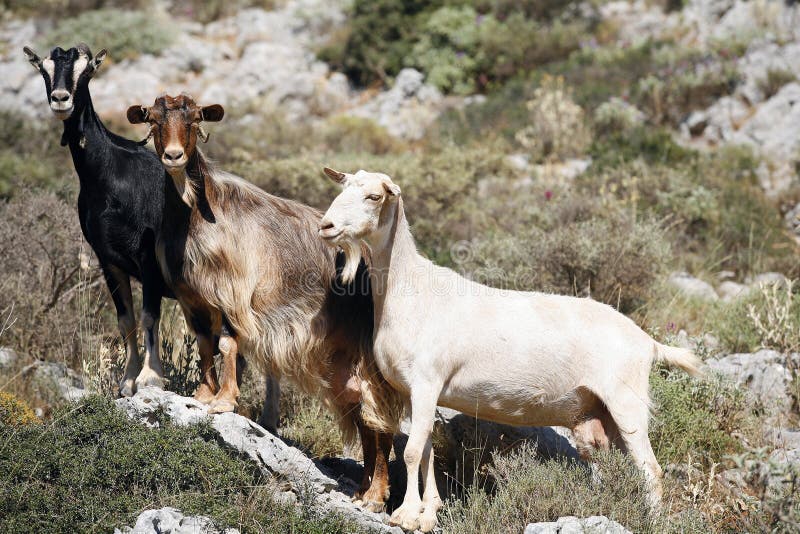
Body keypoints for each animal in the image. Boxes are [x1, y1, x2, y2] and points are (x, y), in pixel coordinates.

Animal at [127, 94, 404, 511]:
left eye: (194, 120)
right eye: (155, 120)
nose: (174, 156)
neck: (198, 214)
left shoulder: (234, 295)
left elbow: (228, 344)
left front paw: (224, 400)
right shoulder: (194, 299)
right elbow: (205, 345)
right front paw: (203, 394)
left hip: (371, 355)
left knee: (379, 417)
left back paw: (375, 497)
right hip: (342, 361)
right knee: (364, 416)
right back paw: (362, 489)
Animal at [319, 168, 703, 532]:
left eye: (373, 196)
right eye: (342, 188)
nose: (327, 225)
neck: (410, 289)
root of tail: (648, 342)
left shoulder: (428, 382)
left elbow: (412, 452)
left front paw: (407, 515)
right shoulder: (413, 391)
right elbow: (425, 450)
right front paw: (429, 513)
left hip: (627, 400)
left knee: (650, 470)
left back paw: (653, 522)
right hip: (601, 413)